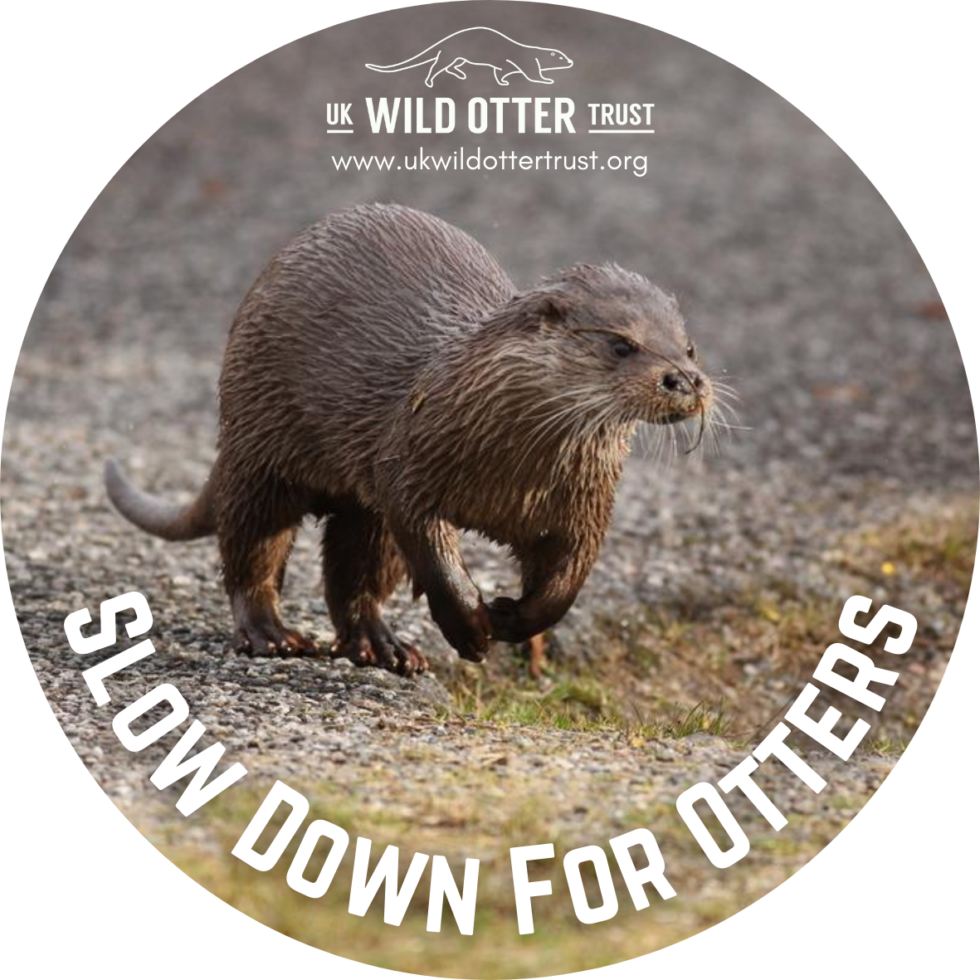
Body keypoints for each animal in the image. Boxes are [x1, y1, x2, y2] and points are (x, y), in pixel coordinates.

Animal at [106, 204, 713, 676]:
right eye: (622, 344)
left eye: (689, 347)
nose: (685, 379)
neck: (515, 473)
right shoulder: (410, 462)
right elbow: (430, 548)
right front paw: (469, 624)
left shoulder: (584, 504)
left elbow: (567, 578)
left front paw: (512, 617)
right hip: (260, 448)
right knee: (252, 545)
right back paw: (271, 635)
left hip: (356, 504)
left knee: (356, 568)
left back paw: (381, 646)